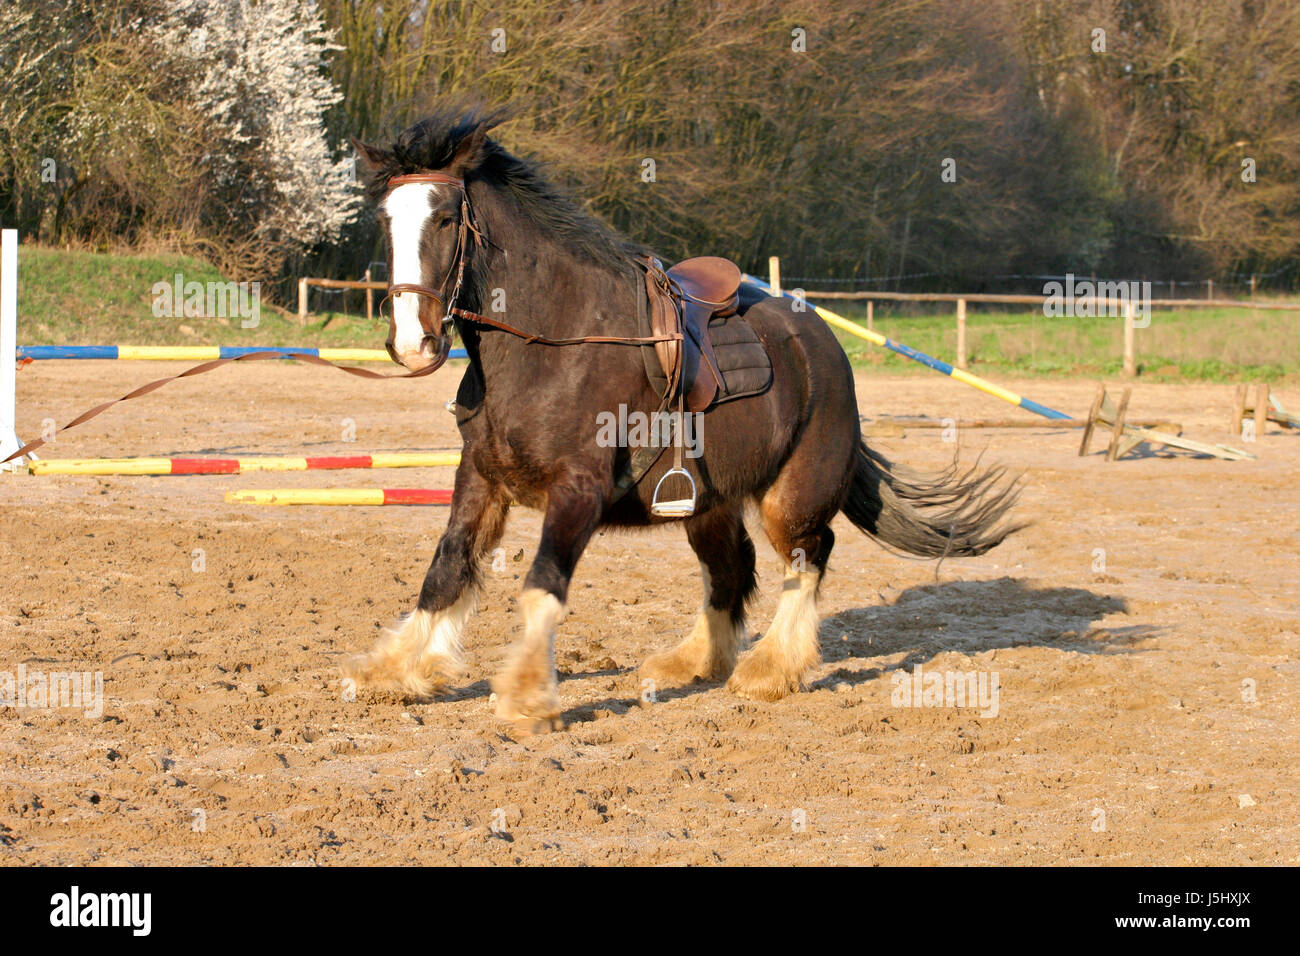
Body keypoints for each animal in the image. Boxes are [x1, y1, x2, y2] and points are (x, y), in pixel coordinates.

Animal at [343, 106, 1022, 731]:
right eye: (386, 220)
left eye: (445, 217)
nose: (412, 343)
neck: (553, 343)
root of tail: (821, 340)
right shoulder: (481, 478)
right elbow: (446, 570)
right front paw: (391, 672)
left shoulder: (578, 489)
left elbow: (542, 585)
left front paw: (527, 697)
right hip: (707, 502)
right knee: (732, 569)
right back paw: (693, 661)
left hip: (791, 496)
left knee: (809, 554)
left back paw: (771, 668)